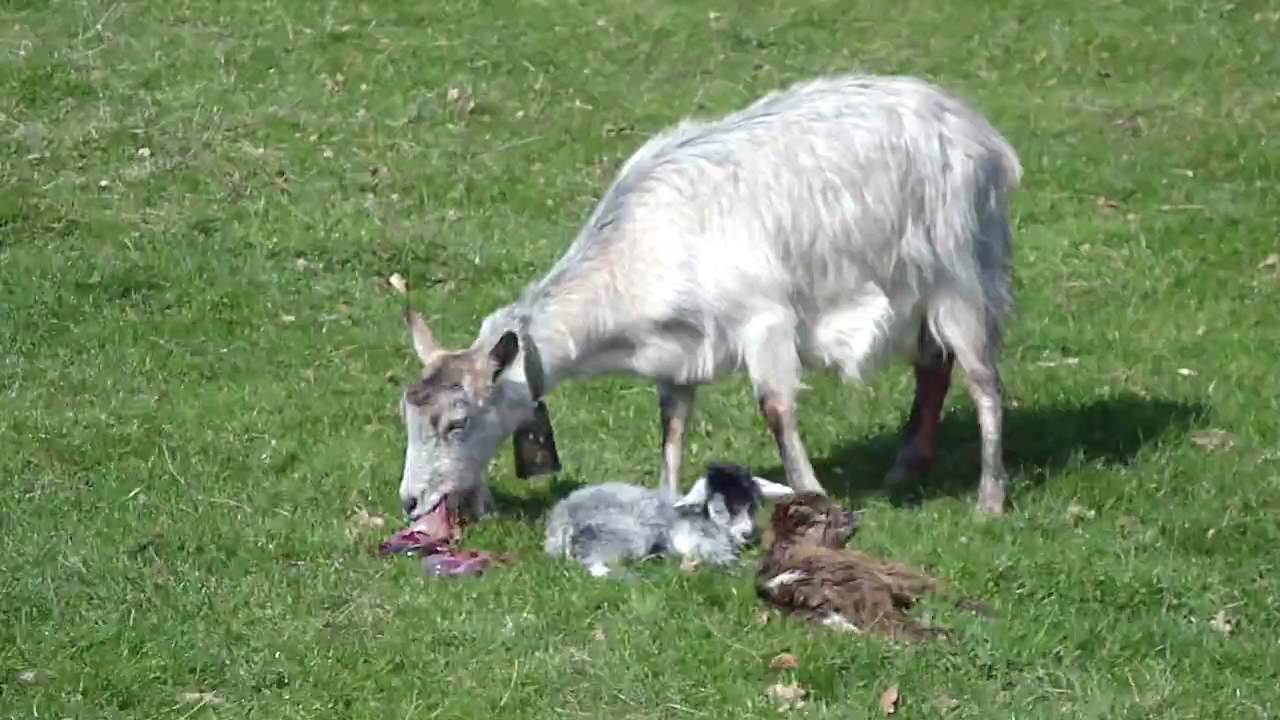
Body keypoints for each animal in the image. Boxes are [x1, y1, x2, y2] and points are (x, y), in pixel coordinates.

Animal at [396, 72, 1022, 525]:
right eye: (408, 414)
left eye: (457, 422)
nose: (410, 501)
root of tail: (980, 133)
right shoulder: (677, 355)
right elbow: (671, 427)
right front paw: (664, 504)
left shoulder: (765, 321)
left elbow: (776, 409)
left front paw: (813, 496)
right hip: (920, 296)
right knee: (934, 368)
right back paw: (906, 470)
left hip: (963, 274)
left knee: (982, 380)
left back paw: (989, 499)